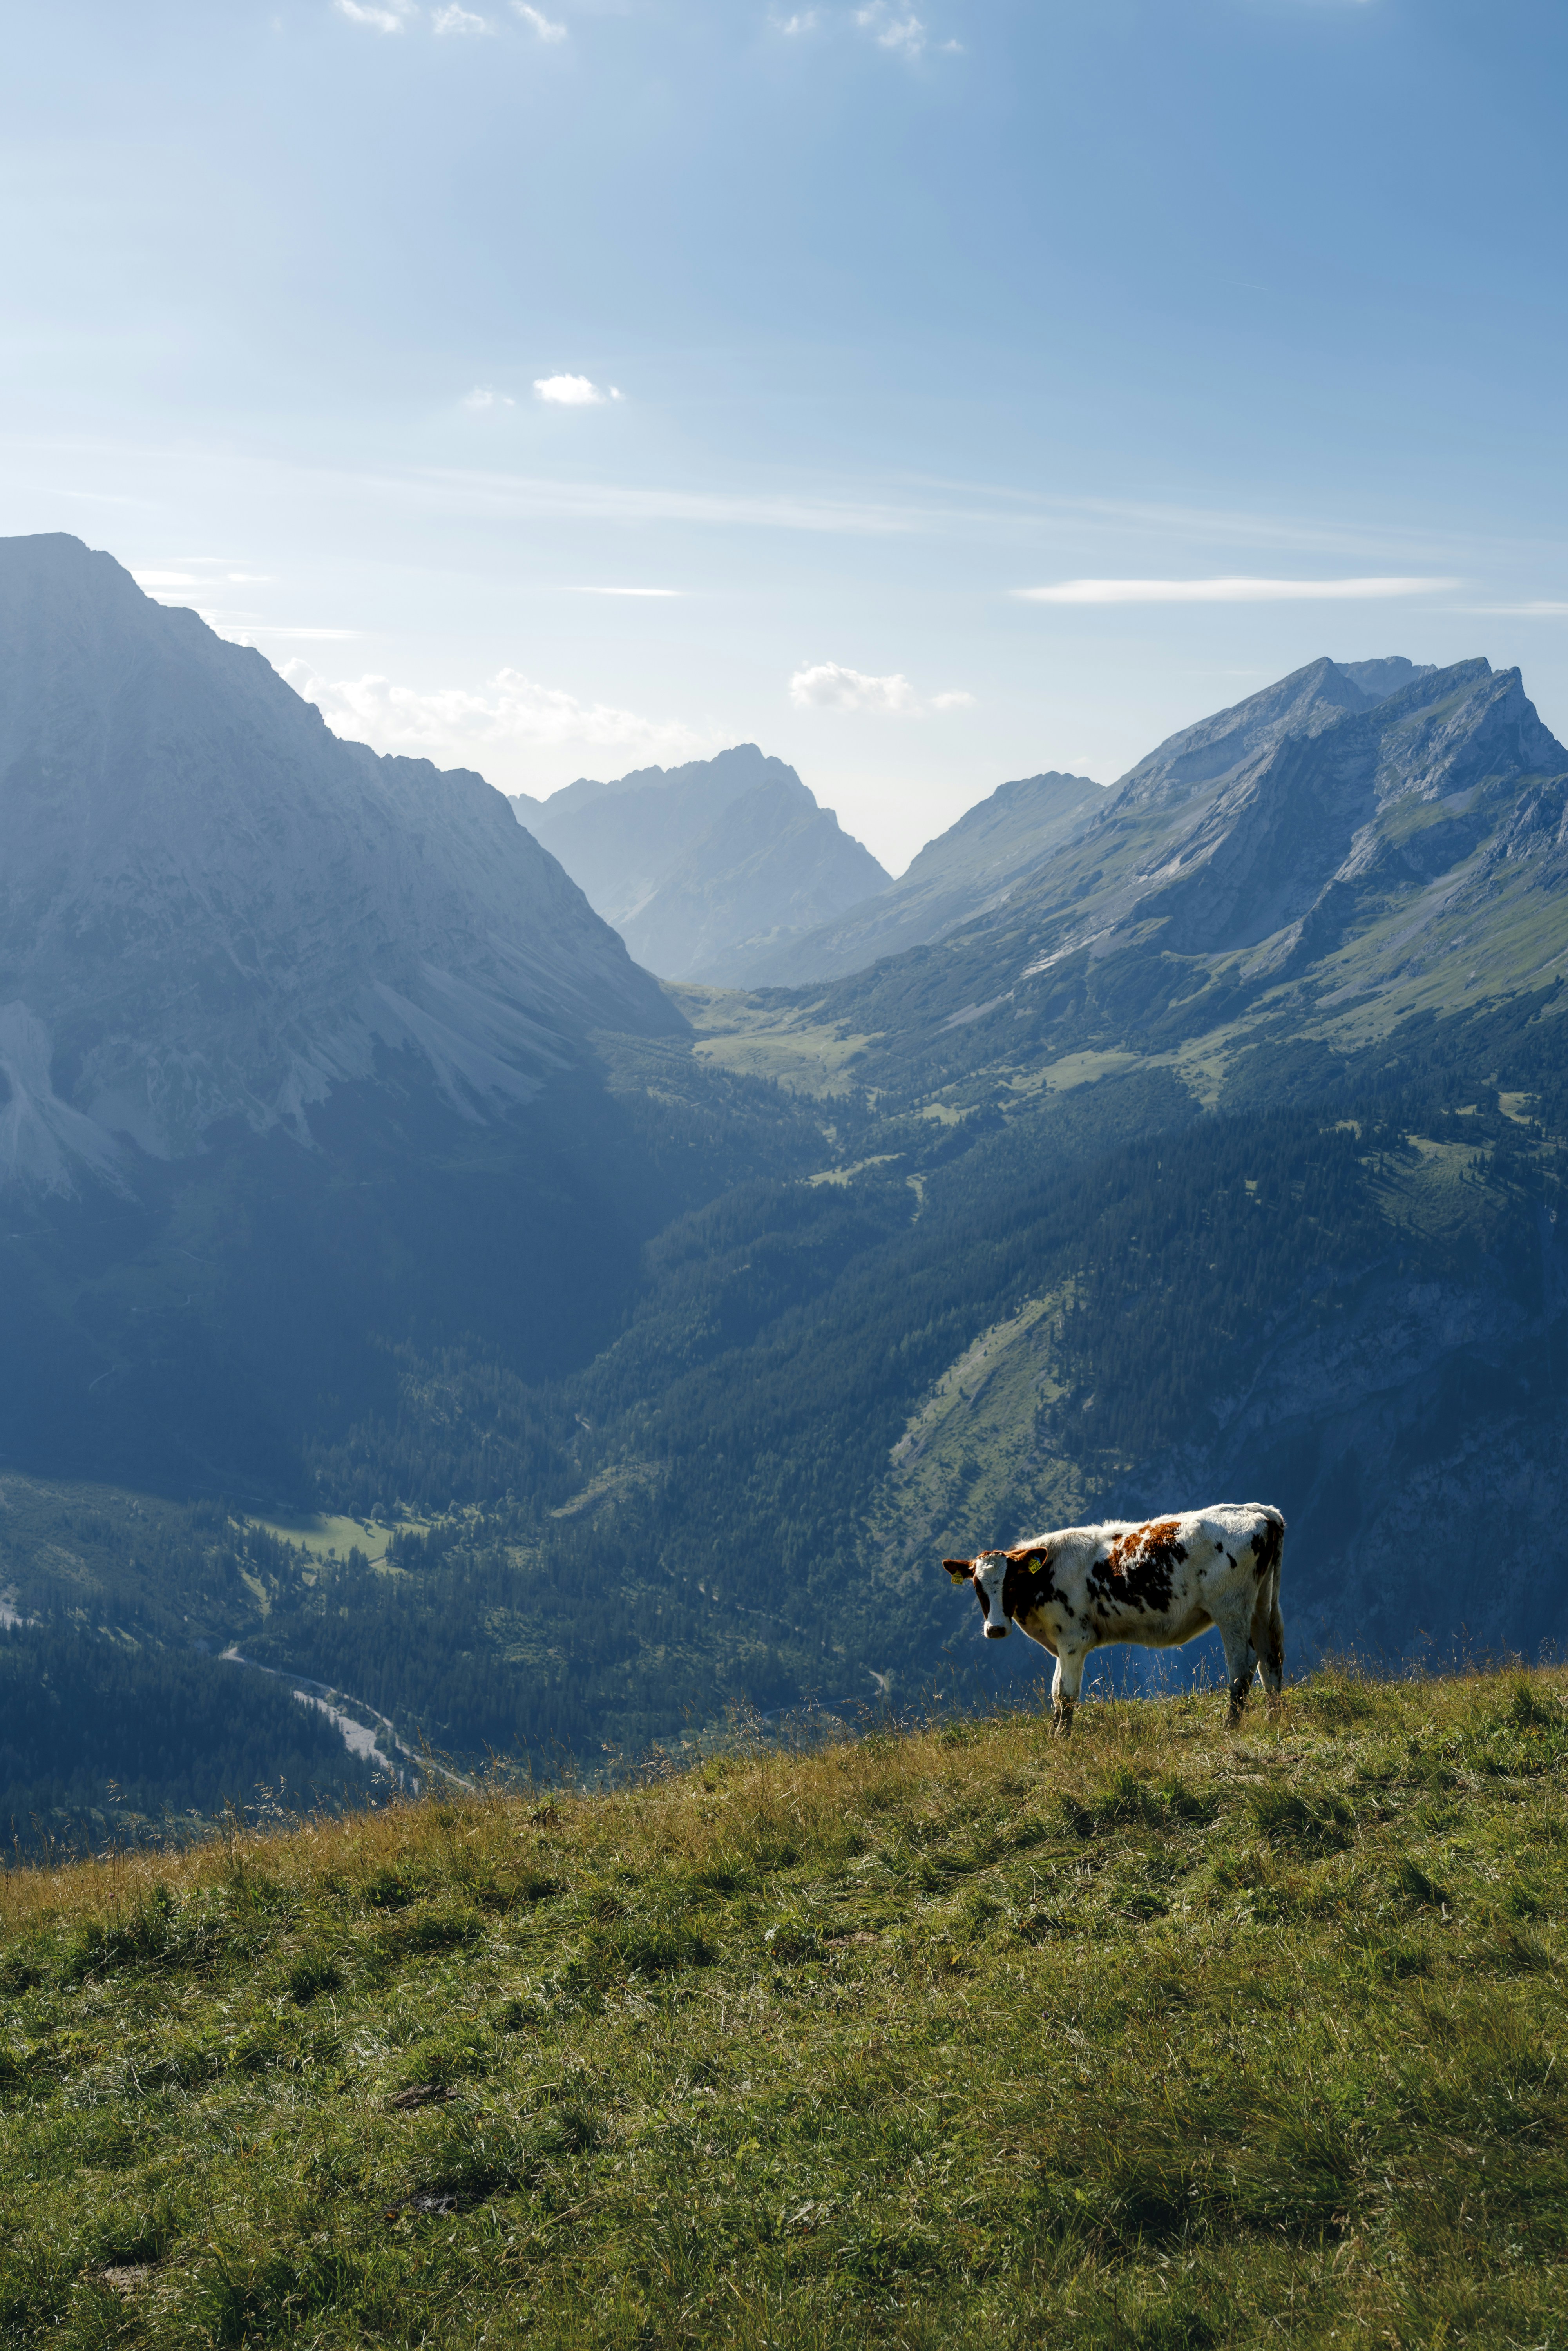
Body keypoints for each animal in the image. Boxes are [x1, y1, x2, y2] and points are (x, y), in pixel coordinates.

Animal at [942, 1504, 1285, 1735]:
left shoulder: (1073, 1640)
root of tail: (1259, 1511)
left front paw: (1063, 1740)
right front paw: (1055, 1736)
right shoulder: (1061, 1644)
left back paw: (1230, 1725)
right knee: (1271, 1658)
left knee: (1243, 1665)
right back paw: (1275, 1719)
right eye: (977, 1586)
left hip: (1231, 1608)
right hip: (1262, 1605)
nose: (996, 1629)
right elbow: (1055, 1694)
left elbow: (1066, 1695)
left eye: (1012, 1583)